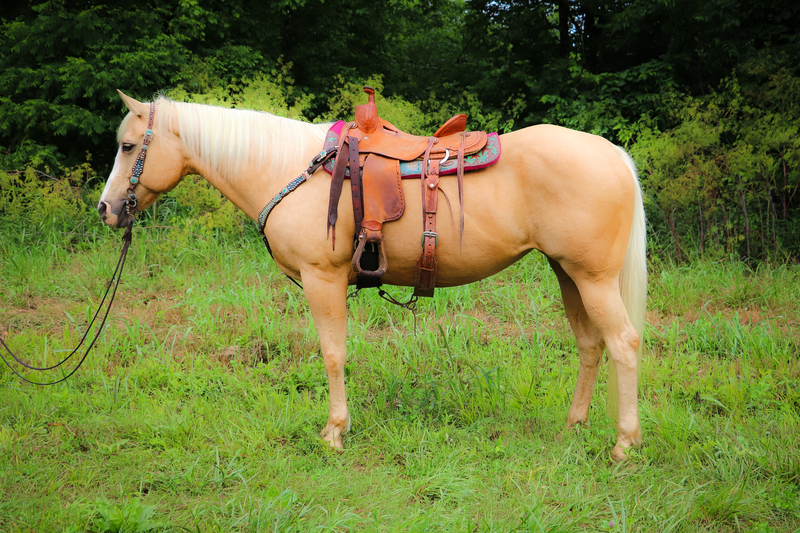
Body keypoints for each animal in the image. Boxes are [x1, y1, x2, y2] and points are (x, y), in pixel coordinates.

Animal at [98, 91, 646, 461]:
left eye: (127, 146)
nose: (106, 209)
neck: (290, 168)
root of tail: (614, 154)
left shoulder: (322, 279)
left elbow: (333, 354)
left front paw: (334, 432)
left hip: (593, 279)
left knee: (622, 344)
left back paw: (624, 444)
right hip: (568, 274)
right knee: (590, 345)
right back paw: (574, 428)